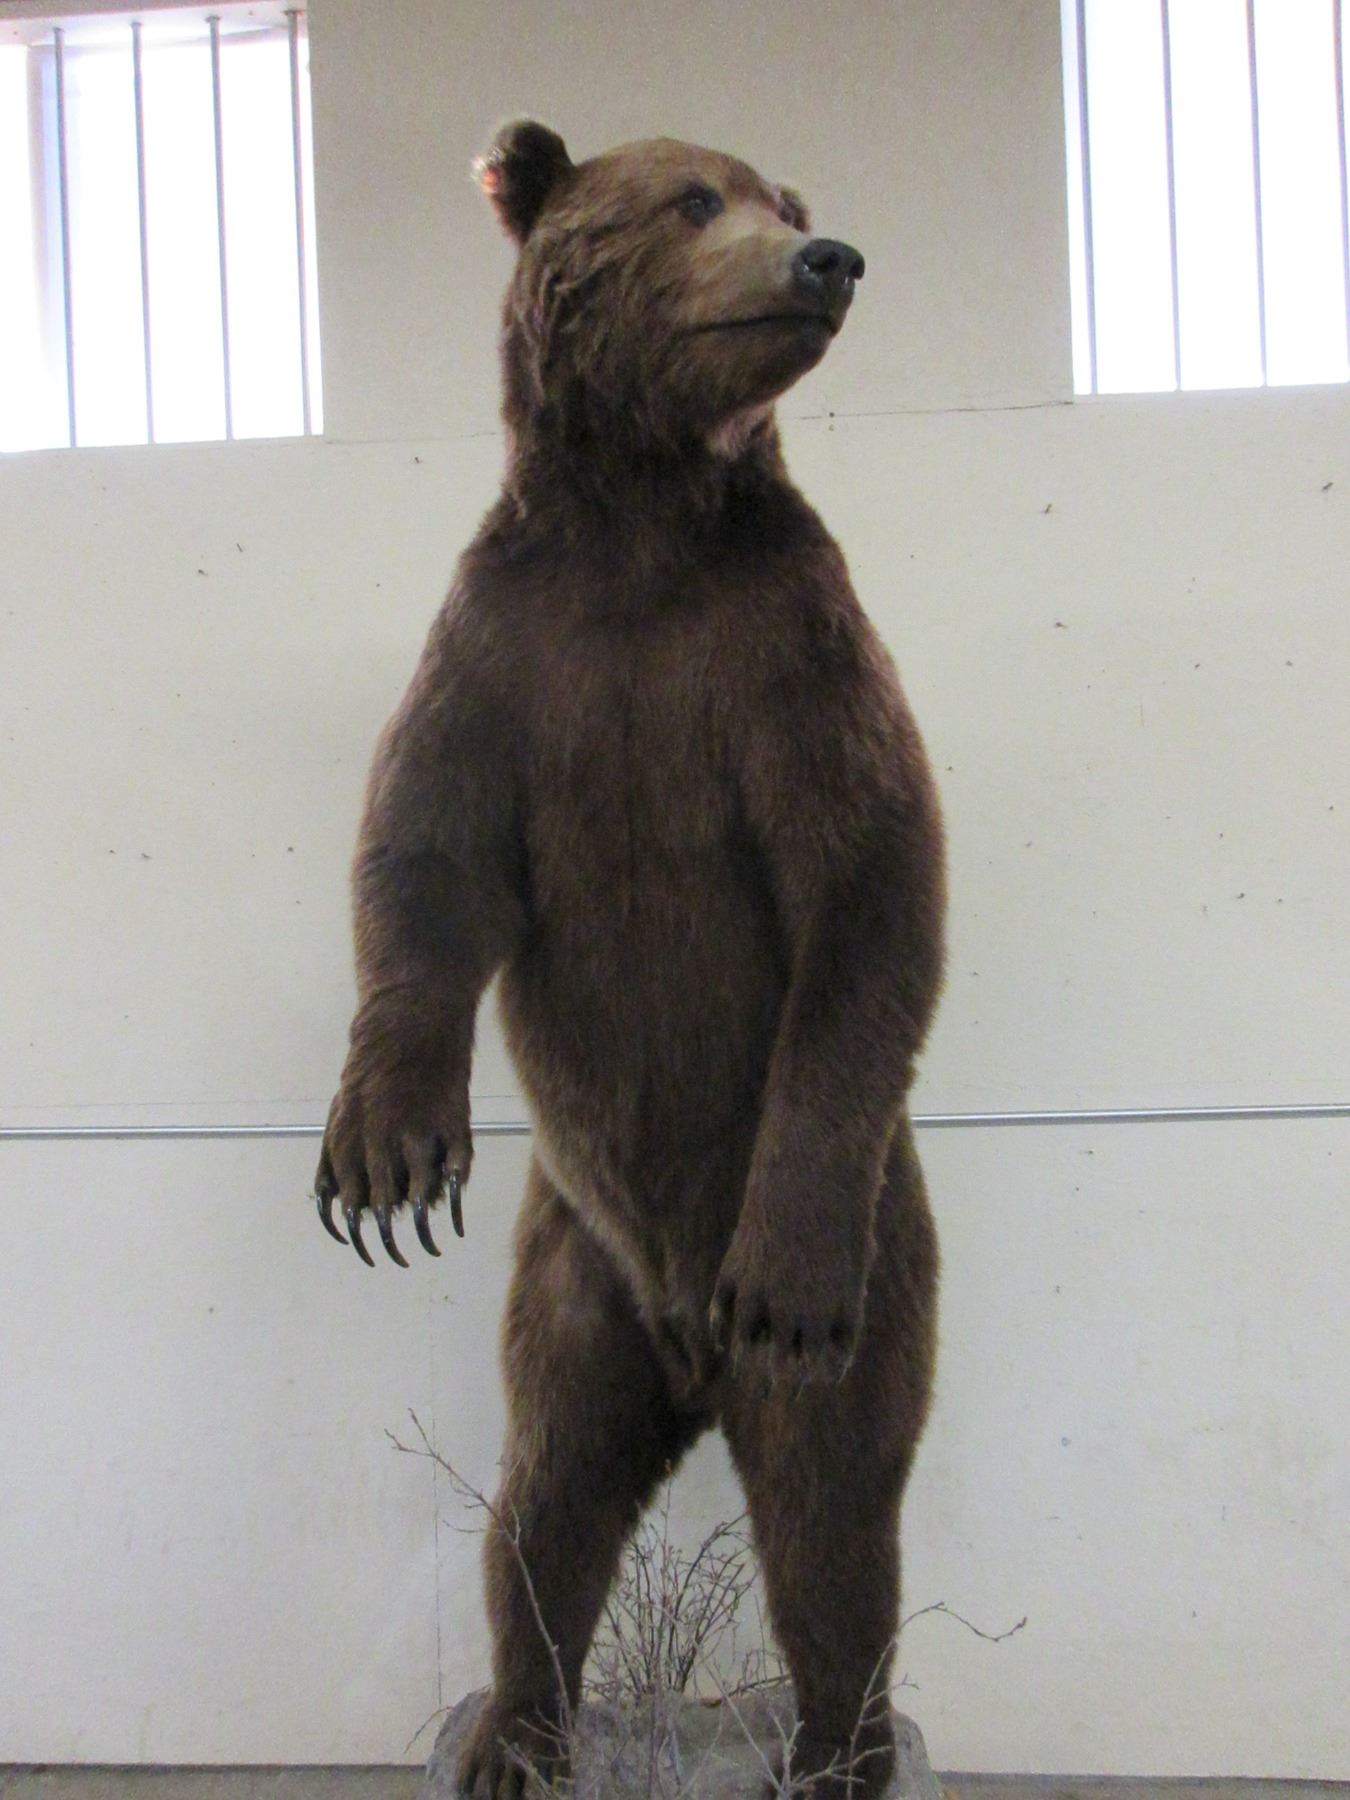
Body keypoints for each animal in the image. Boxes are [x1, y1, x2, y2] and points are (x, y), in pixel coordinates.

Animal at [314, 121, 946, 1800]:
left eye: (784, 201)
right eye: (694, 200)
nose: (828, 256)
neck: (643, 528)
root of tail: (681, 1352)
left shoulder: (790, 650)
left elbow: (871, 891)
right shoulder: (508, 645)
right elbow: (423, 852)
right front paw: (386, 1158)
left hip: (872, 1248)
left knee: (829, 1514)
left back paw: (836, 1748)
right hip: (569, 1269)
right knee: (546, 1499)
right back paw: (511, 1734)